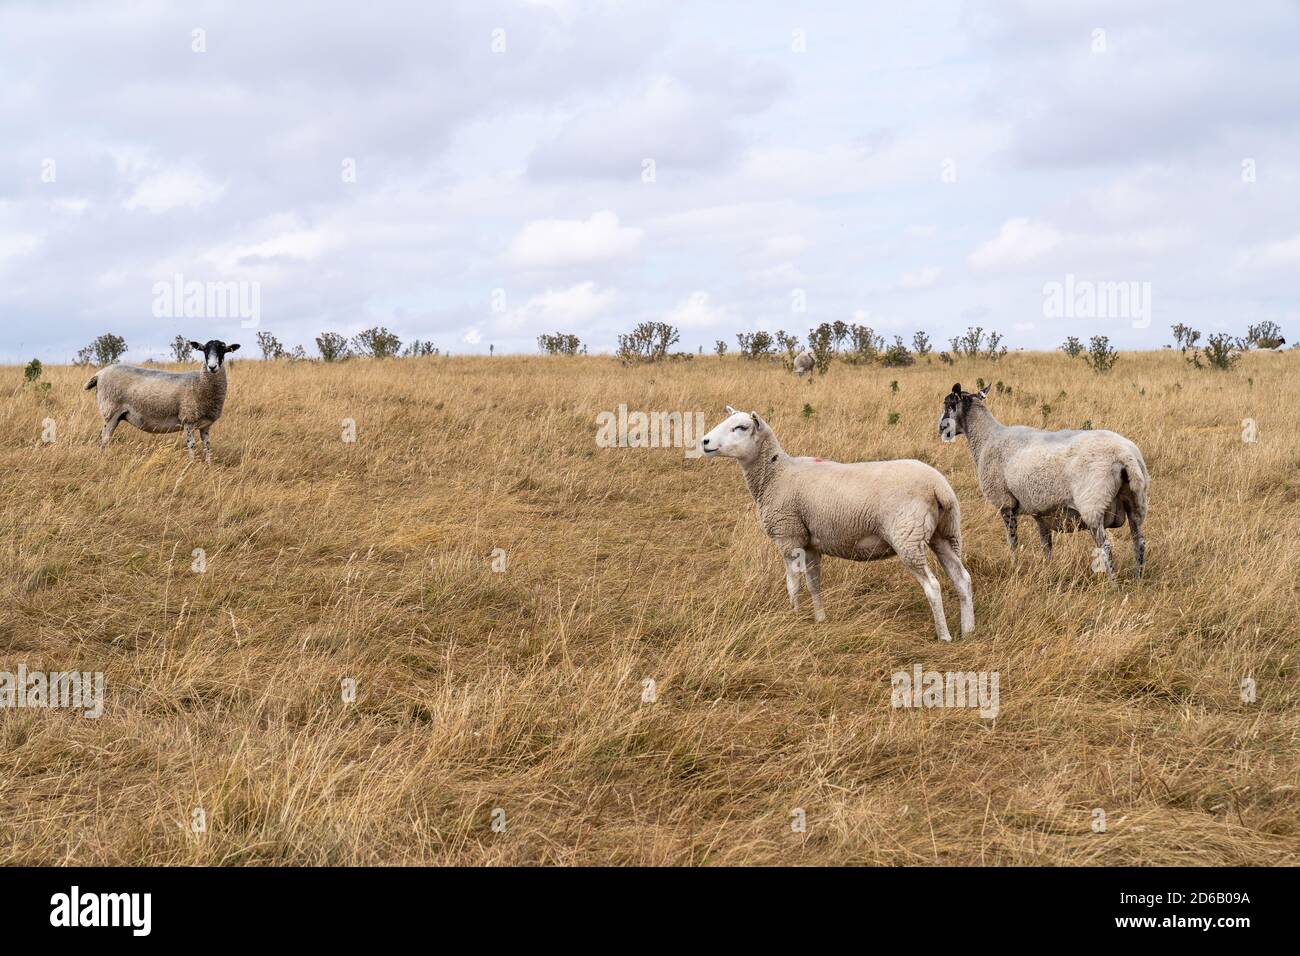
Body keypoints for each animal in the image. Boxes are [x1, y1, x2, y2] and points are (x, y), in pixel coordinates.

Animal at [84, 339, 240, 462]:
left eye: (223, 351)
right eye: (205, 350)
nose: (212, 367)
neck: (199, 382)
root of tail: (99, 373)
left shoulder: (205, 425)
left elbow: (207, 446)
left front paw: (208, 465)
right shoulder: (188, 419)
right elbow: (191, 445)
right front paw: (192, 464)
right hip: (110, 410)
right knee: (105, 437)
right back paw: (105, 457)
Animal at [700, 406, 974, 641]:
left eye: (741, 427)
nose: (704, 442)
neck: (776, 475)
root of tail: (939, 487)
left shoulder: (789, 536)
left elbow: (793, 584)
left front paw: (794, 616)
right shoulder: (810, 542)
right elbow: (814, 584)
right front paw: (820, 619)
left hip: (907, 537)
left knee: (933, 586)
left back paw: (944, 635)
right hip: (946, 533)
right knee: (962, 578)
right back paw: (968, 630)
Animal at [937, 383, 1149, 579]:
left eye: (948, 404)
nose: (940, 428)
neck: (986, 438)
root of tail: (1125, 455)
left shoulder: (1005, 502)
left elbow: (1012, 541)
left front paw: (1015, 566)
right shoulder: (1040, 513)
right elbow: (1046, 544)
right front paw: (1048, 568)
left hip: (1093, 505)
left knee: (1106, 547)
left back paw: (1113, 583)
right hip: (1136, 501)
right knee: (1138, 541)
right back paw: (1138, 577)